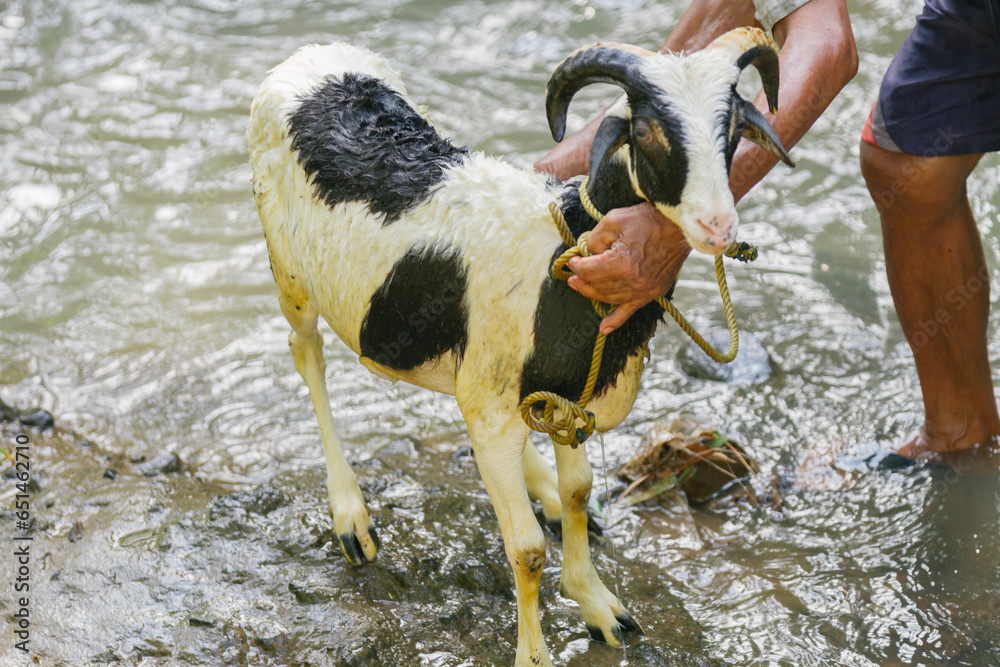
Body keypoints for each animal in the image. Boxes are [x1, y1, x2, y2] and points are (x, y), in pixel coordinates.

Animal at [247, 28, 791, 667]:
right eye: (647, 131)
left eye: (731, 131)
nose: (718, 226)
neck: (562, 257)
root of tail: (313, 56)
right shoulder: (501, 396)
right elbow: (527, 552)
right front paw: (535, 654)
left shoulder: (565, 395)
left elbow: (580, 493)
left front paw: (598, 605)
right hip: (288, 267)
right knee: (306, 353)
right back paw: (350, 518)